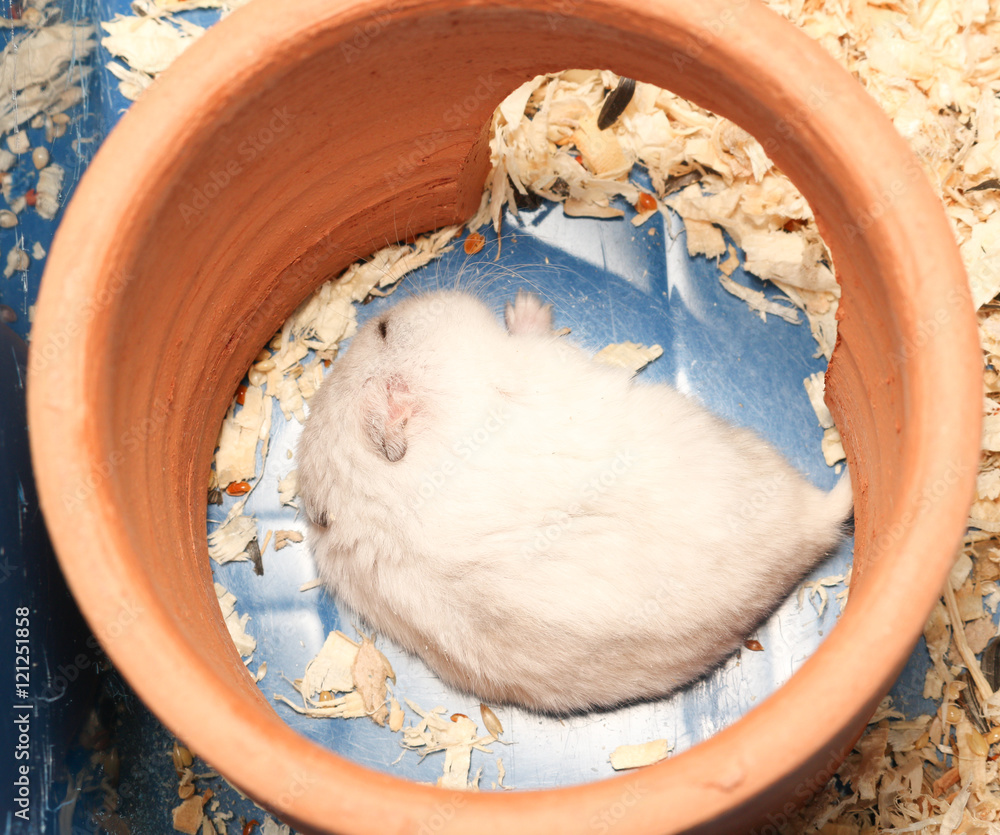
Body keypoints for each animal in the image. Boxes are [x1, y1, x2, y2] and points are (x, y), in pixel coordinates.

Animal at [297, 289, 852, 714]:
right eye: (386, 329)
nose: (386, 313)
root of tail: (809, 528)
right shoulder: (530, 362)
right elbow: (535, 338)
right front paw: (527, 306)